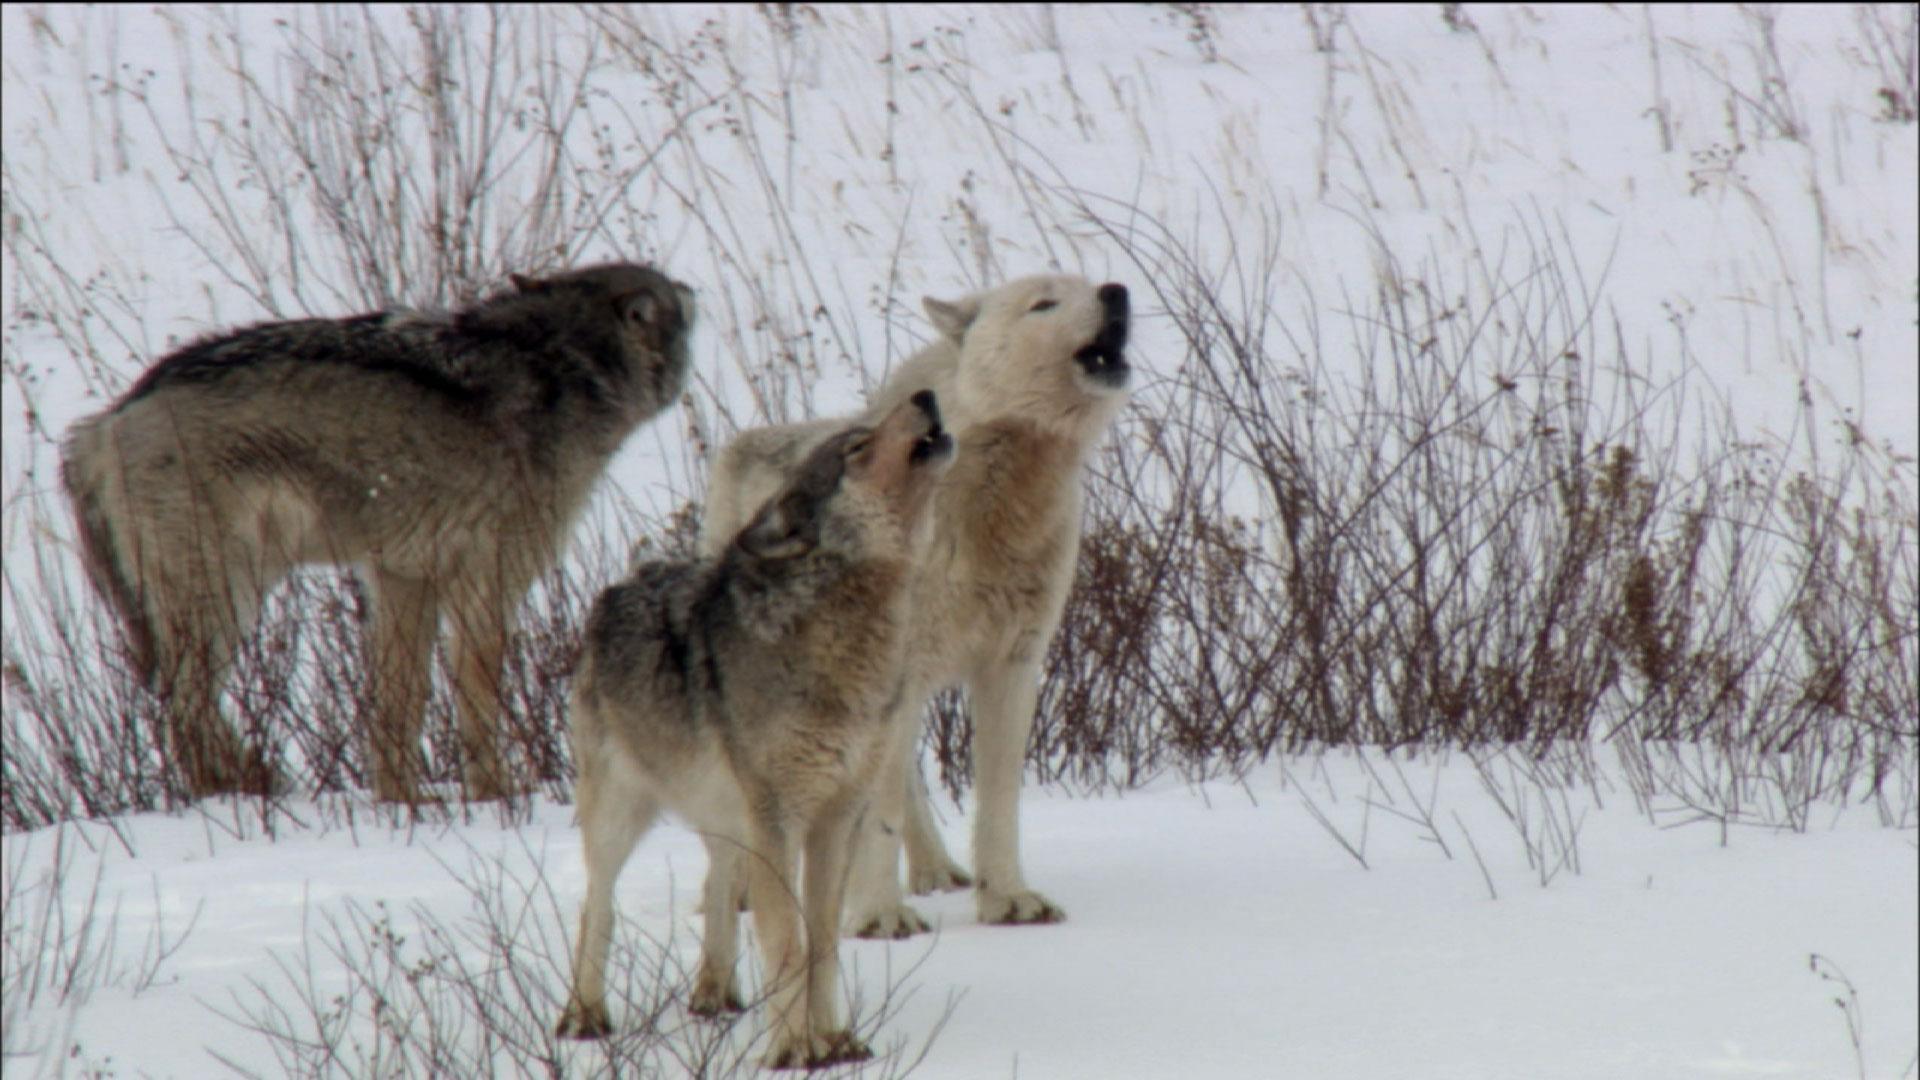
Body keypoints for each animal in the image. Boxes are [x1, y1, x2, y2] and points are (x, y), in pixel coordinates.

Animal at [59, 263, 696, 802]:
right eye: (676, 306)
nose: (694, 289)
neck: (561, 365)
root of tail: (102, 424)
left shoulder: (402, 577)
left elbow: (398, 705)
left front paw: (402, 803)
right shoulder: (488, 582)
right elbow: (478, 706)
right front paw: (497, 797)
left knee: (179, 705)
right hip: (225, 597)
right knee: (182, 705)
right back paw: (245, 787)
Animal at [555, 391, 953, 1068]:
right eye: (856, 444)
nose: (925, 395)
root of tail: (623, 583)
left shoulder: (837, 820)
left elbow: (822, 942)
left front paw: (836, 1042)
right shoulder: (778, 820)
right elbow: (787, 941)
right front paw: (793, 1051)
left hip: (726, 818)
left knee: (717, 882)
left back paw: (715, 996)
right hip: (620, 817)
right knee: (595, 905)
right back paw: (584, 1017)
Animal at [700, 274, 1131, 936]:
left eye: (1089, 282)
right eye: (1044, 303)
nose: (1117, 292)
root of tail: (747, 441)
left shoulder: (1013, 665)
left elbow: (997, 799)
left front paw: (1009, 900)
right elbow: (876, 814)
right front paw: (881, 917)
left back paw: (937, 872)